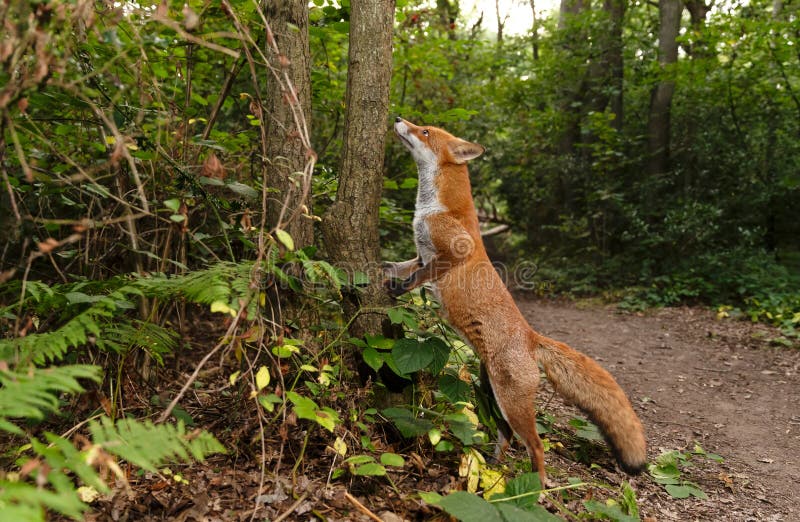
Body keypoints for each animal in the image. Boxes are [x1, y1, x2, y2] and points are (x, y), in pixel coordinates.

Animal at [384, 117, 647, 485]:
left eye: (424, 131)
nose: (397, 119)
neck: (435, 207)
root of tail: (531, 337)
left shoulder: (452, 254)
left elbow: (418, 278)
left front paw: (397, 289)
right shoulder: (421, 255)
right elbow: (400, 266)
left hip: (512, 402)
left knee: (535, 445)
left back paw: (535, 487)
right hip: (490, 392)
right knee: (506, 435)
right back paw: (493, 471)